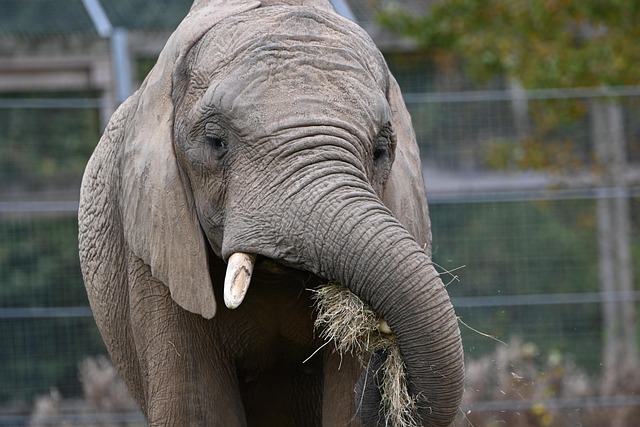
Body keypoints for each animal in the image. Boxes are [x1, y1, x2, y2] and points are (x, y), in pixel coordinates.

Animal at [78, 0, 464, 426]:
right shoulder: (154, 241)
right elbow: (196, 408)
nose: (381, 363)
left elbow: (344, 403)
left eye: (380, 150)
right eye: (215, 143)